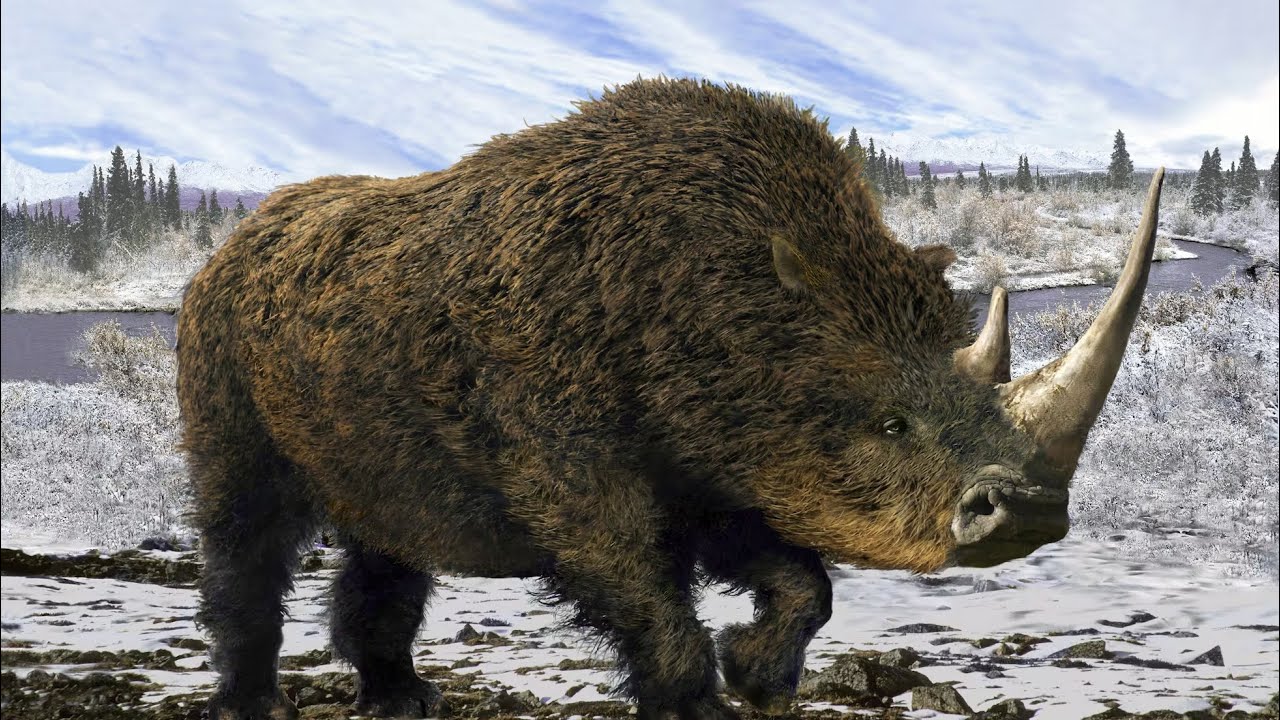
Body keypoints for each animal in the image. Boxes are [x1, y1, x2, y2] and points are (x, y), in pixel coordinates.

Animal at [176, 77, 1165, 719]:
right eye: (890, 421)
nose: (1028, 513)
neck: (739, 309)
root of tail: (228, 247)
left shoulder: (729, 460)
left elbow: (803, 581)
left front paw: (758, 675)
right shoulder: (575, 469)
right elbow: (644, 590)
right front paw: (702, 703)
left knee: (387, 527)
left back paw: (404, 701)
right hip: (217, 354)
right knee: (247, 524)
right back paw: (254, 705)